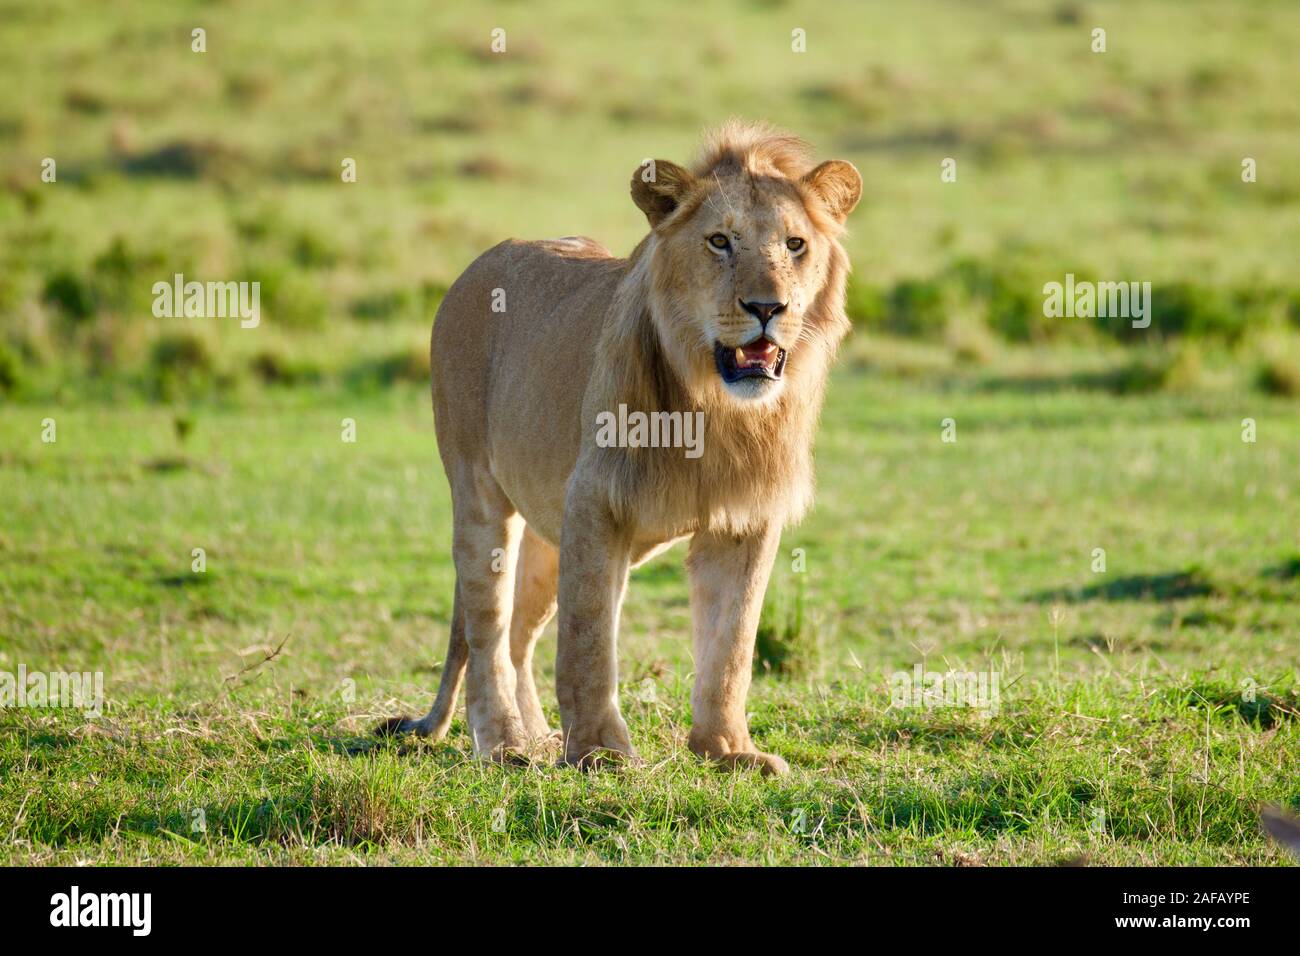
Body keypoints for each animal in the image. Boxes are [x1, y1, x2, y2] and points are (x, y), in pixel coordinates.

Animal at [380, 121, 861, 776]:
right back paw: (504, 742)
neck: (715, 409)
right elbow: (588, 640)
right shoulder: (595, 501)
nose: (767, 308)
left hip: (548, 529)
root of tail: (477, 265)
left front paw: (727, 750)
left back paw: (537, 737)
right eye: (719, 241)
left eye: (794, 245)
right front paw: (599, 752)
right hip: (479, 491)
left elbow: (732, 647)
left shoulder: (744, 520)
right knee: (486, 630)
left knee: (518, 636)